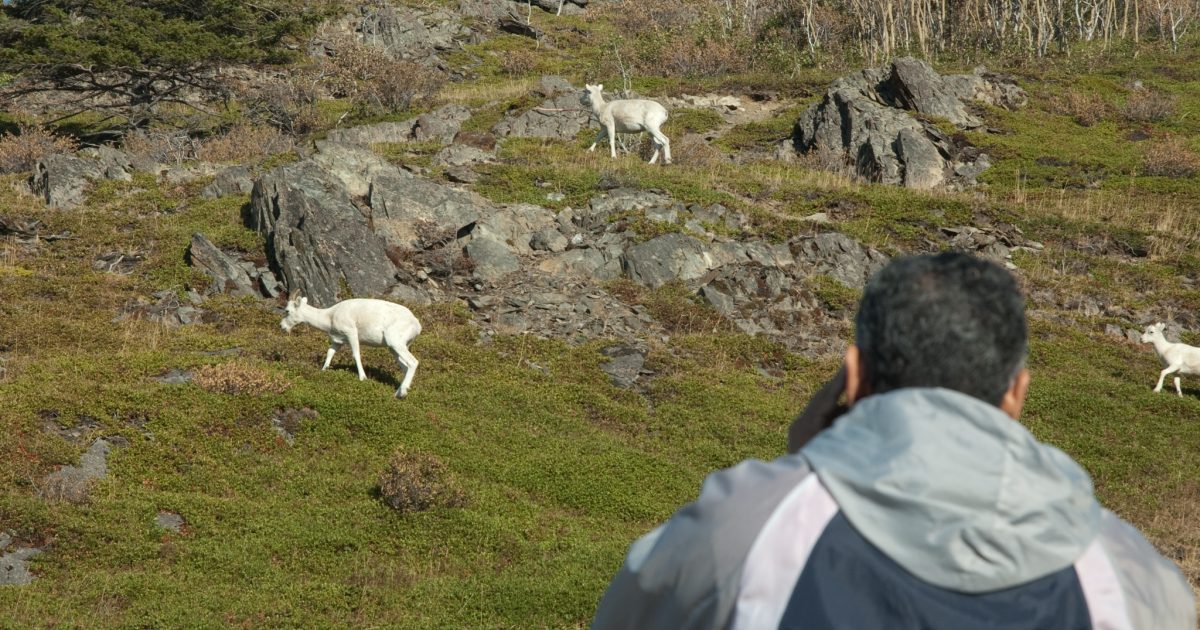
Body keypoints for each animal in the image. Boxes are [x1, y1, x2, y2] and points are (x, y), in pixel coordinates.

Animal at [280, 295, 422, 398]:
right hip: (394, 348)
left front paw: (362, 378)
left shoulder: (351, 333)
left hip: (396, 343)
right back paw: (398, 393)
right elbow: (330, 352)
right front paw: (323, 370)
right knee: (405, 367)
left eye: (287, 311)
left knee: (413, 362)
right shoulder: (338, 341)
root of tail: (417, 325)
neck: (330, 316)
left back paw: (402, 393)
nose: (281, 326)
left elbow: (356, 355)